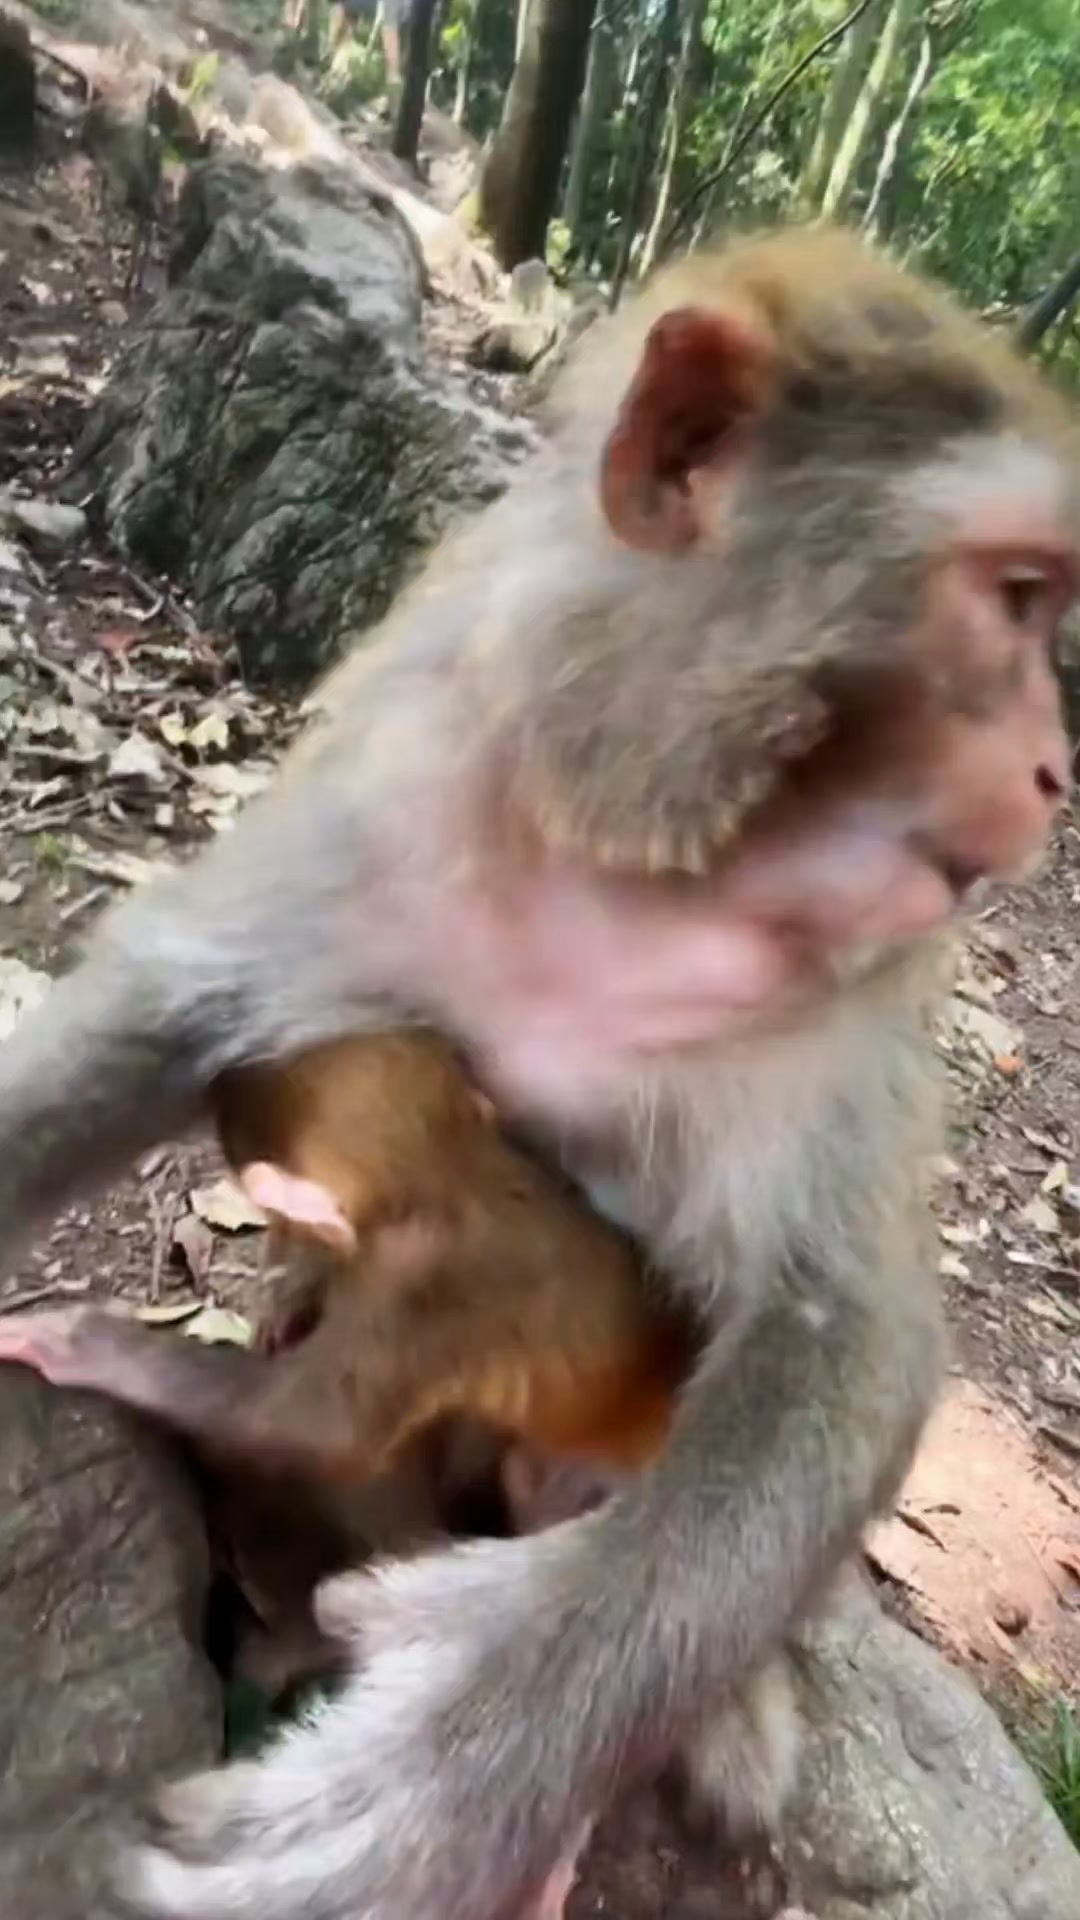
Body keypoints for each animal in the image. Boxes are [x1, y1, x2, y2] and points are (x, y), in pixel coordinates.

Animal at [0, 225, 1071, 1920]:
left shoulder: (839, 1005)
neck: (624, 846)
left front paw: (460, 1760)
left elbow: (843, 1338)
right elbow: (171, 1010)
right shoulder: (400, 770)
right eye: (1016, 595)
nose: (1054, 770)